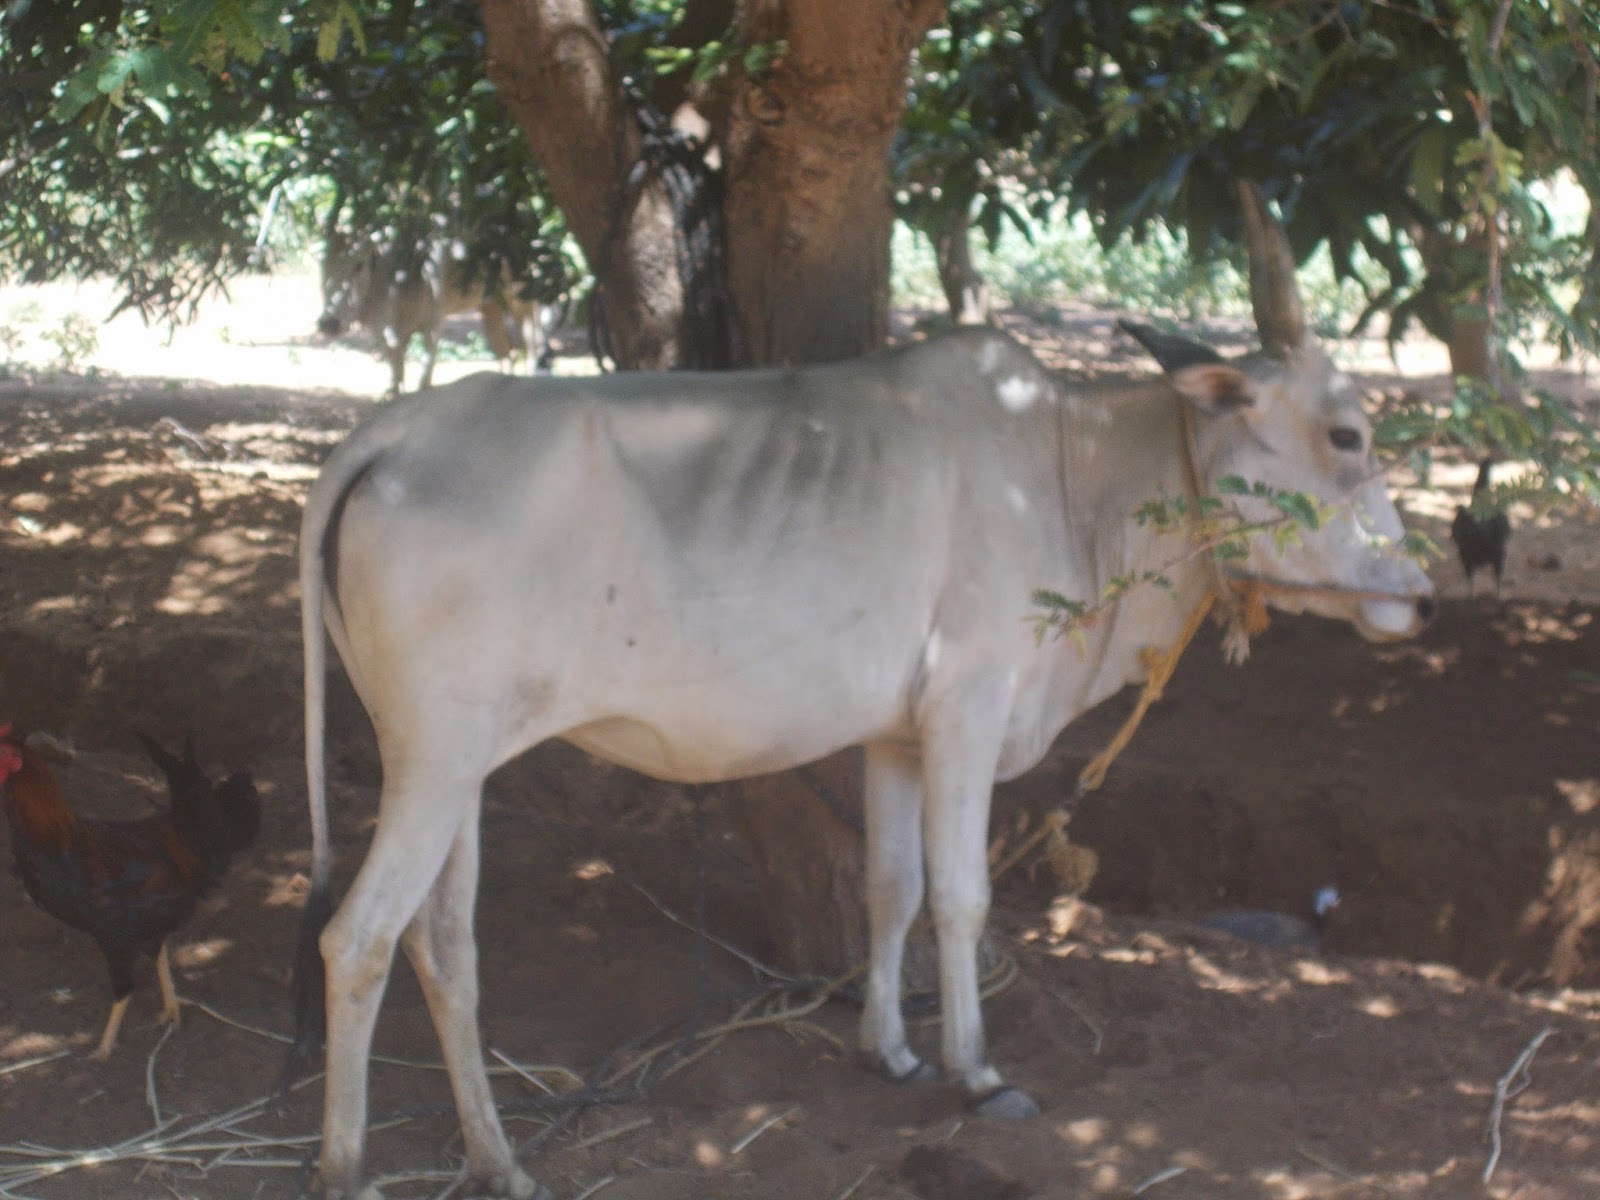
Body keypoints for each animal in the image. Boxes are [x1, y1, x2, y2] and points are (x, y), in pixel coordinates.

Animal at [317, 230, 562, 396]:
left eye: (358, 265)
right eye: (323, 264)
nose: (328, 323)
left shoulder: (432, 324)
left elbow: (424, 378)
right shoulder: (389, 334)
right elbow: (397, 374)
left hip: (521, 298)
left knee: (532, 344)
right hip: (490, 305)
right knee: (506, 351)